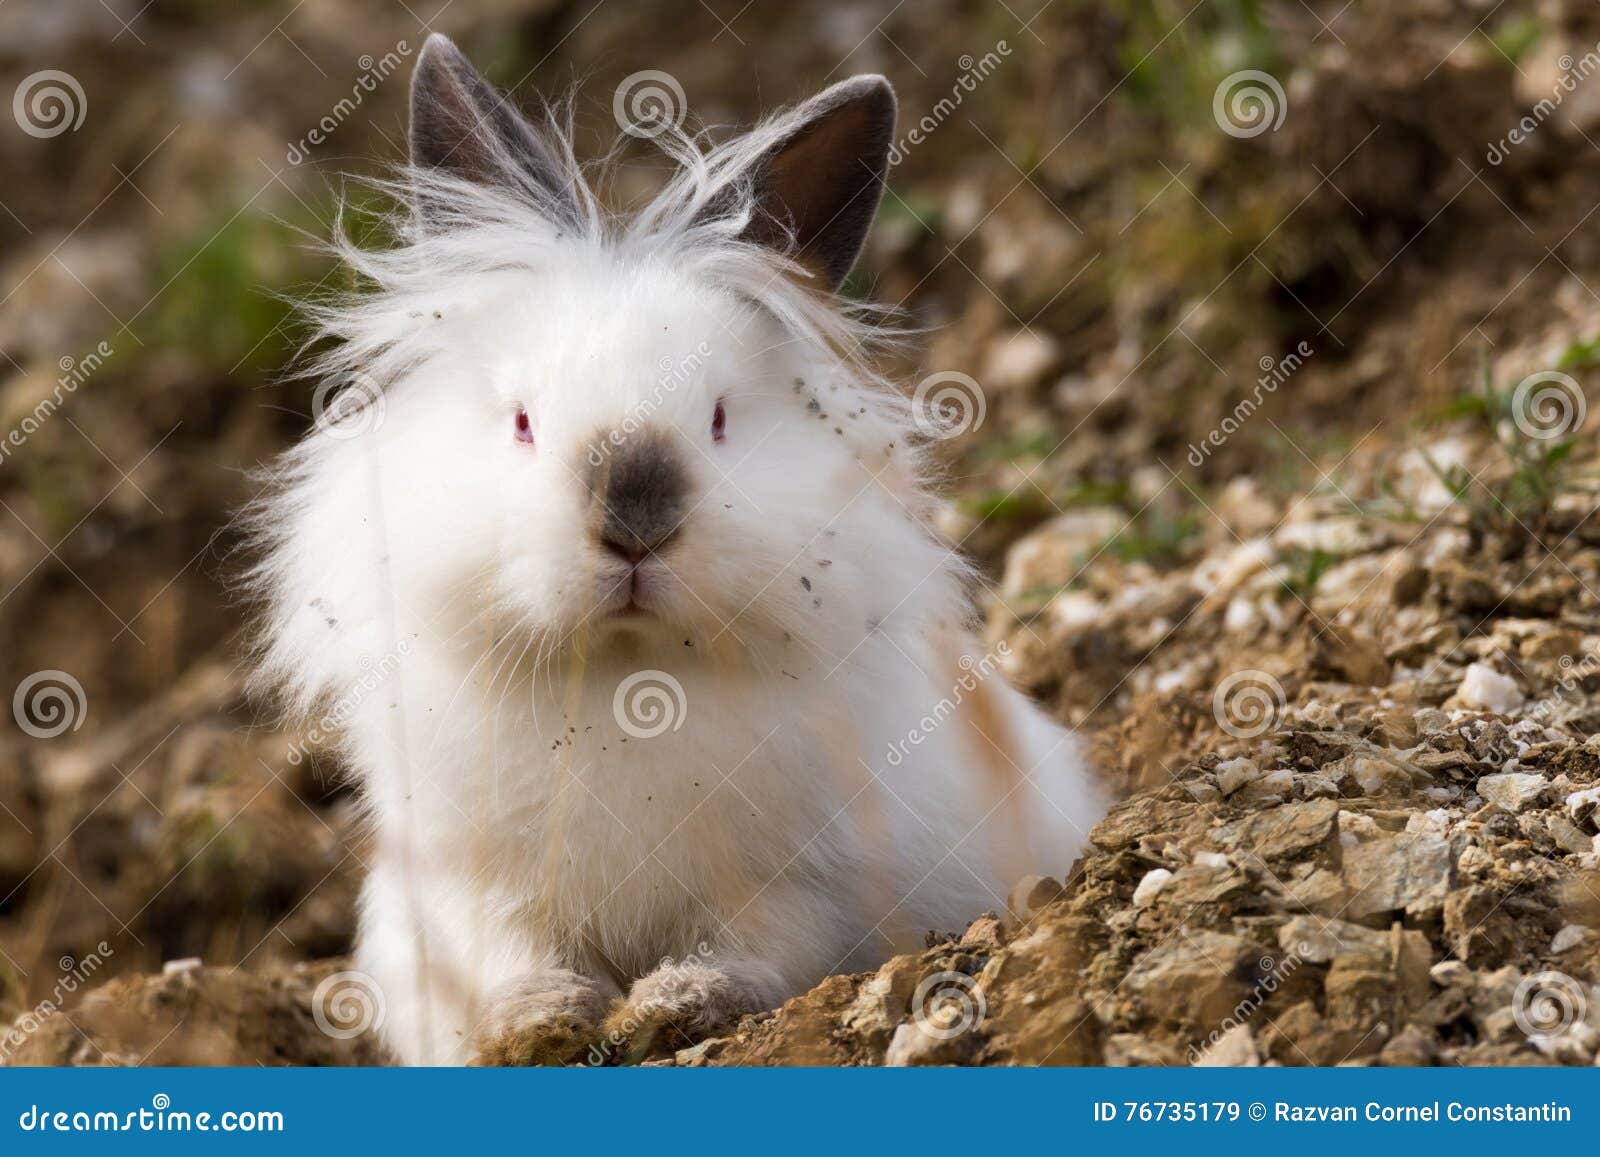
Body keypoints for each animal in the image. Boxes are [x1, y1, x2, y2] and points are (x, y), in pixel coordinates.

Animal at [247, 33, 1107, 1066]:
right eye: (524, 421)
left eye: (722, 418)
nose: (635, 518)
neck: (630, 680)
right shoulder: (466, 888)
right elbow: (511, 957)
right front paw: (541, 1022)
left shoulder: (806, 883)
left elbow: (760, 949)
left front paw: (674, 1001)